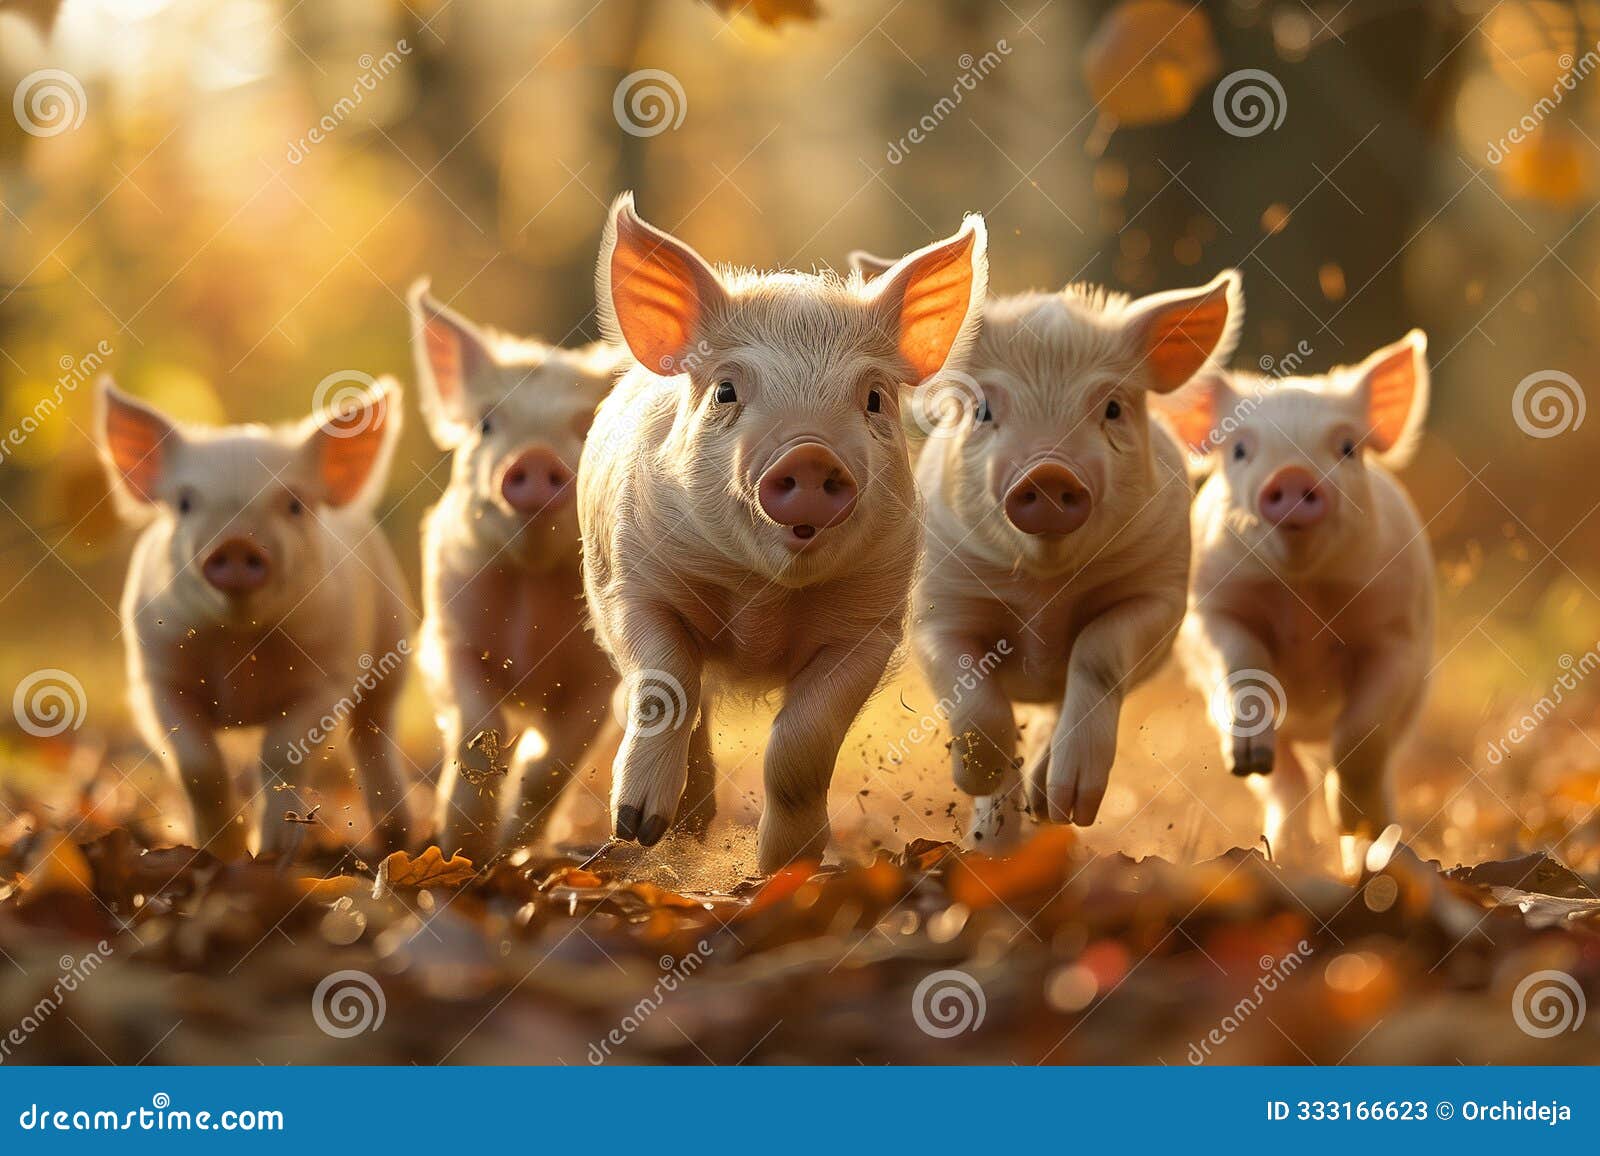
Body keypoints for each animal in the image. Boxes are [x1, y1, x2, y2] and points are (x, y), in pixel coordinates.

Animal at [96, 376, 416, 860]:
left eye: (295, 503)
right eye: (184, 502)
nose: (235, 543)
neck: (239, 643)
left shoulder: (329, 678)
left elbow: (283, 753)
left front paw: (273, 854)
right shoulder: (155, 678)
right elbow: (198, 764)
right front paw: (222, 855)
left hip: (391, 645)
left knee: (373, 731)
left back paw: (399, 840)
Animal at [409, 281, 627, 861]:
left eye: (585, 424)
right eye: (487, 424)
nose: (532, 459)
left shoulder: (599, 680)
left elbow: (552, 763)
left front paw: (511, 853)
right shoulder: (448, 640)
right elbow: (477, 728)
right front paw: (464, 850)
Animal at [582, 193, 988, 873]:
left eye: (874, 398)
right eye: (725, 389)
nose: (810, 454)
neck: (764, 599)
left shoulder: (869, 627)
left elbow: (803, 740)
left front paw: (782, 867)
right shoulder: (635, 586)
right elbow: (664, 686)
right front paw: (635, 829)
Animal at [853, 251, 1242, 848]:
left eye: (1112, 408)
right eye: (983, 409)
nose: (1050, 471)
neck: (1044, 591)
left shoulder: (1158, 594)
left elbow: (1098, 654)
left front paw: (1071, 807)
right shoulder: (940, 606)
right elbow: (974, 696)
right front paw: (978, 779)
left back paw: (1048, 806)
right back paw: (996, 843)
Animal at [1159, 332, 1434, 873]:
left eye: (1347, 447)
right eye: (1240, 449)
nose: (1290, 475)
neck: (1301, 592)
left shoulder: (1397, 637)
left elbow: (1361, 731)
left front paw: (1352, 822)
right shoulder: (1211, 611)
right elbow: (1242, 662)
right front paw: (1244, 760)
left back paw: (1373, 854)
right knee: (1286, 781)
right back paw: (1287, 852)